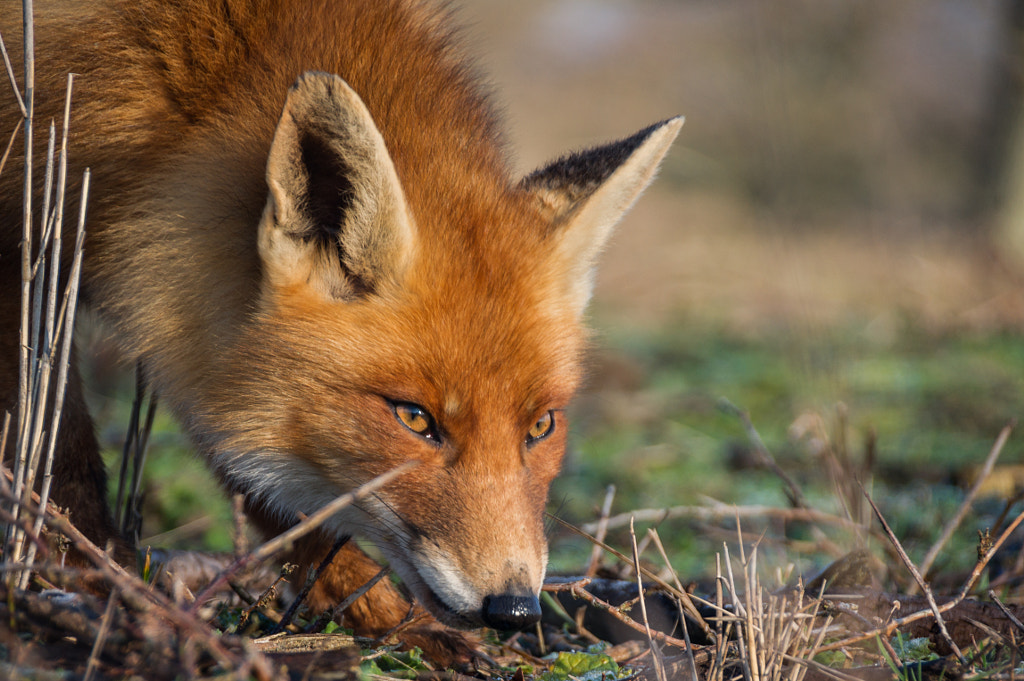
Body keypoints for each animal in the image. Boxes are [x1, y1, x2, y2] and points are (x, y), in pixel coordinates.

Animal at [0, 0, 680, 661]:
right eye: (414, 418)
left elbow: (272, 493)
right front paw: (94, 572)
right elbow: (61, 449)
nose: (513, 609)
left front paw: (389, 619)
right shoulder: (27, 251)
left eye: (540, 427)